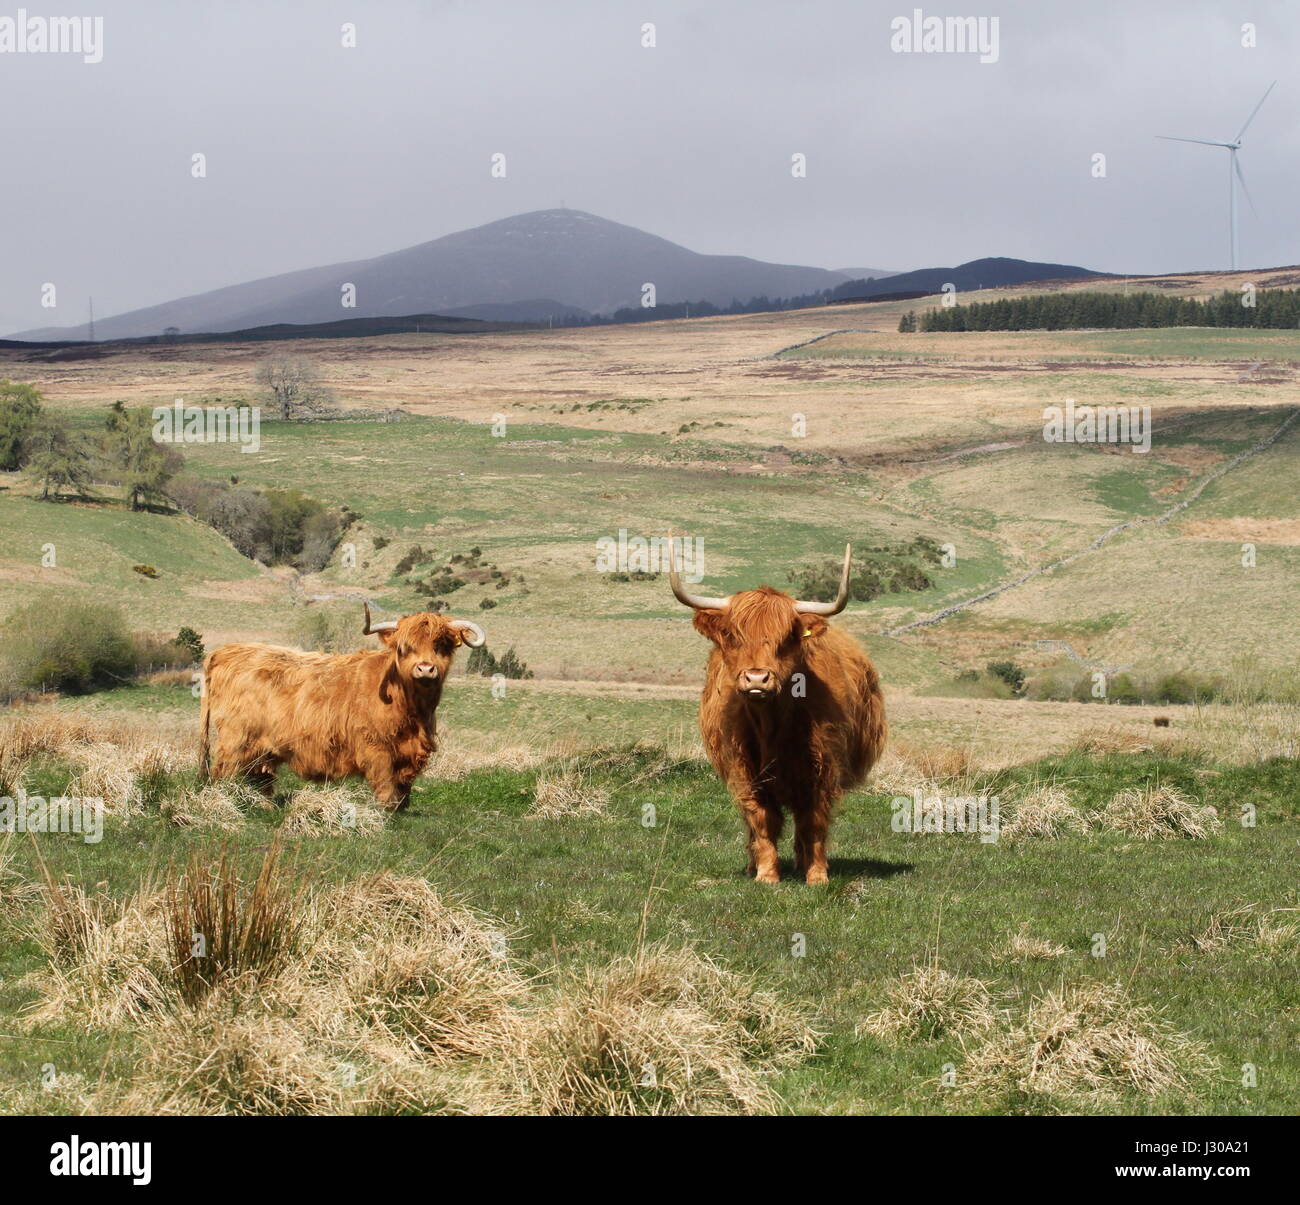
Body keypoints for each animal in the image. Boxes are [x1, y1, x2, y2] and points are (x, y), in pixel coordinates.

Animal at [199, 604, 486, 809]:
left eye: (441, 645)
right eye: (405, 648)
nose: (425, 668)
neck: (412, 709)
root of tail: (226, 651)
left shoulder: (409, 753)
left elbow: (403, 791)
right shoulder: (376, 748)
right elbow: (385, 788)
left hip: (262, 747)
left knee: (260, 778)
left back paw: (265, 807)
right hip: (236, 739)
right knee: (224, 772)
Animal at [668, 543, 886, 884]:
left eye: (786, 639)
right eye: (733, 636)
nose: (757, 678)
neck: (771, 725)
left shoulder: (823, 768)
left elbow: (813, 822)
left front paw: (816, 875)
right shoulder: (744, 771)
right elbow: (762, 820)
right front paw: (767, 874)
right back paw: (752, 864)